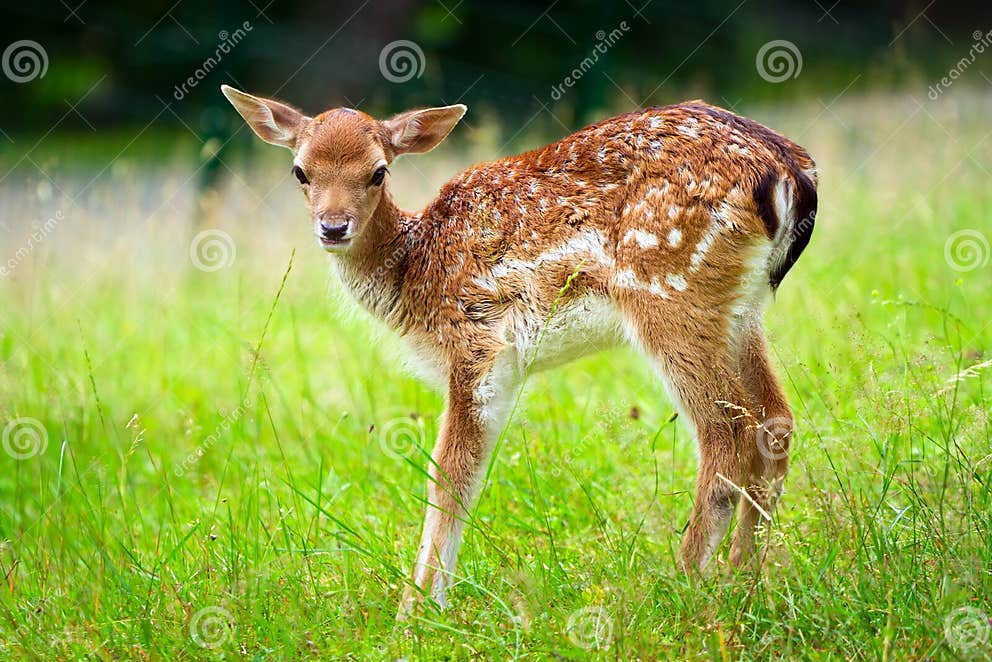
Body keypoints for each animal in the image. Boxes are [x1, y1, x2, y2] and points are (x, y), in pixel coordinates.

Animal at [220, 84, 818, 618]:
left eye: (378, 170)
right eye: (301, 171)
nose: (333, 227)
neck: (416, 272)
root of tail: (790, 173)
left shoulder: (478, 345)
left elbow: (450, 476)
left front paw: (418, 612)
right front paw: (426, 603)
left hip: (669, 293)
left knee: (727, 430)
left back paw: (684, 582)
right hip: (739, 309)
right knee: (775, 419)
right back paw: (744, 576)